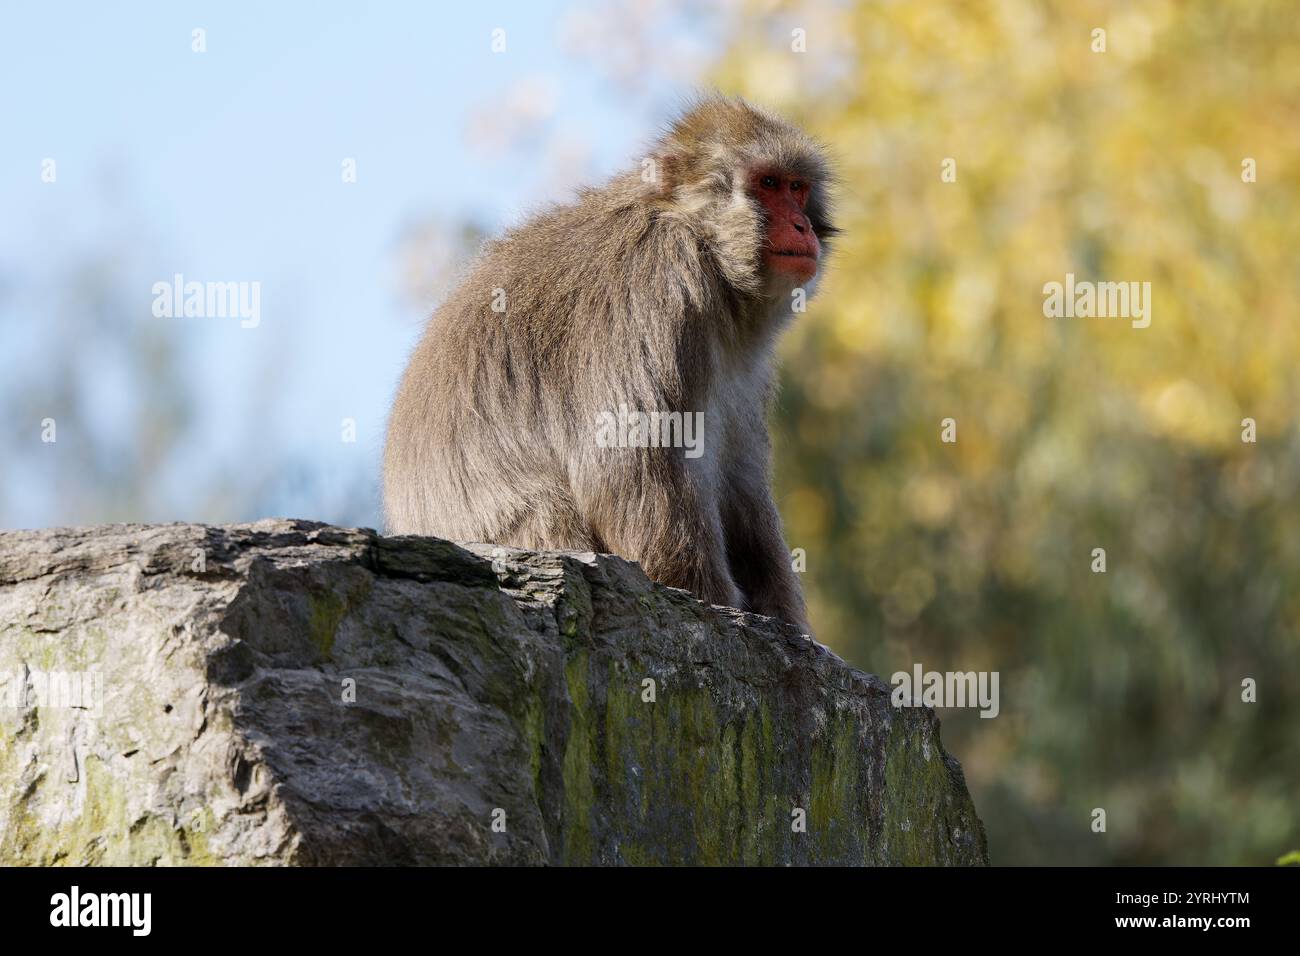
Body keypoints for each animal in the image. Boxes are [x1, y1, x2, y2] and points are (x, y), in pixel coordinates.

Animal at [383, 95, 836, 634]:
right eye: (767, 184)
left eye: (797, 188)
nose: (803, 226)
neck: (702, 245)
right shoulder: (659, 286)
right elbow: (627, 469)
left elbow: (740, 480)